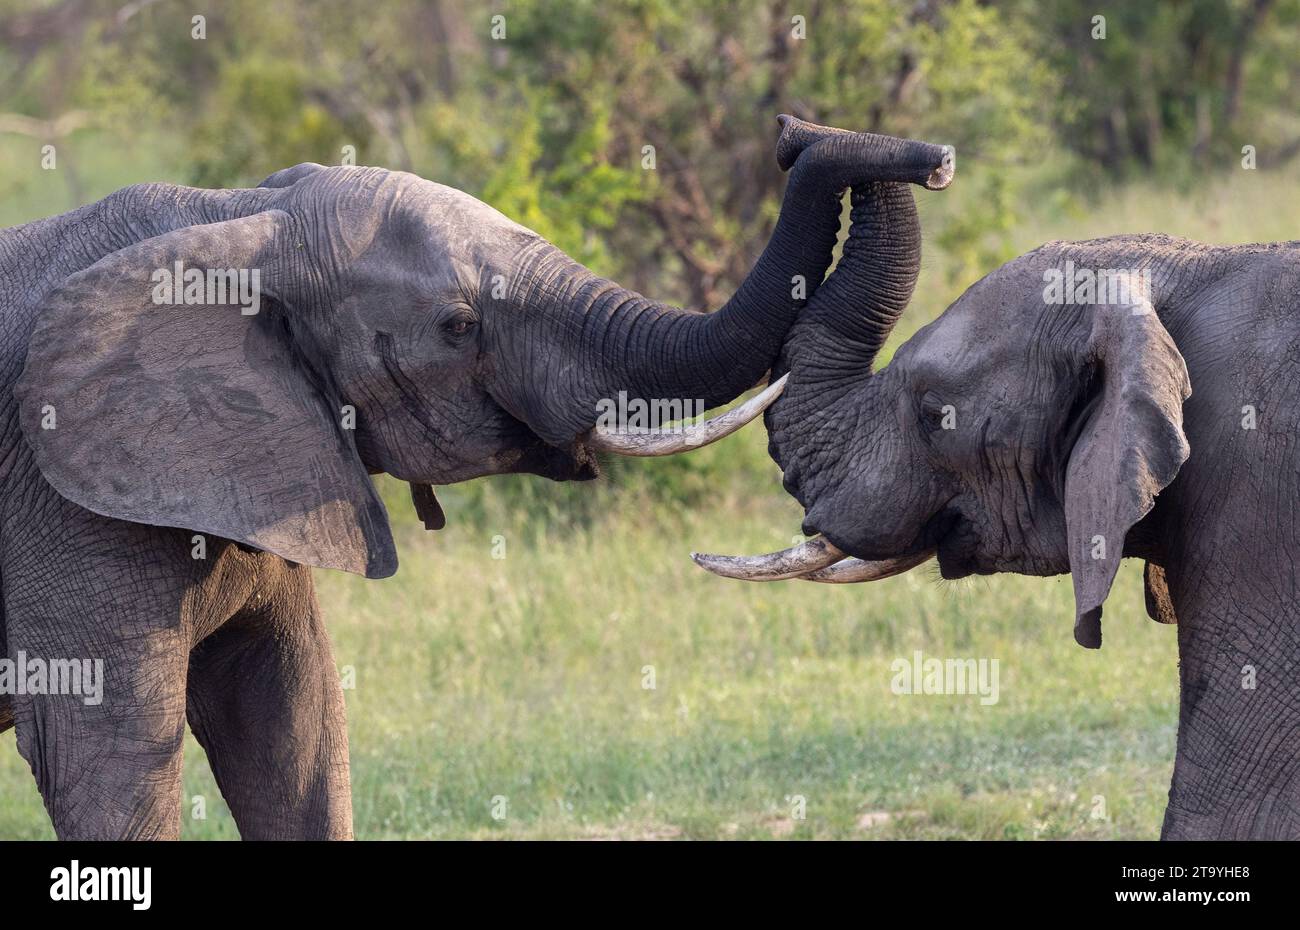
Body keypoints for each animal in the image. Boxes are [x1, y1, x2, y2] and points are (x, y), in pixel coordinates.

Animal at [0, 117, 953, 839]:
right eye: (458, 326)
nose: (803, 135)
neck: (238, 216)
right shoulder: (63, 498)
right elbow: (108, 757)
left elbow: (291, 719)